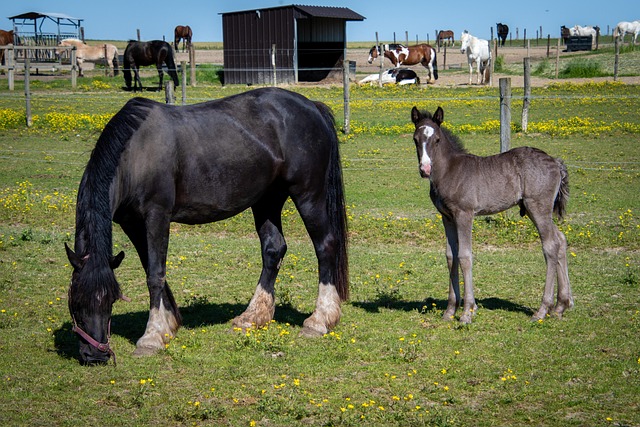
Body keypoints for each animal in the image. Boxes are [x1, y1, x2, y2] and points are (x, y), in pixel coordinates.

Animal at [65, 87, 349, 365]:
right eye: (75, 301)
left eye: (110, 299)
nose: (95, 355)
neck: (135, 155)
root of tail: (311, 106)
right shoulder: (132, 223)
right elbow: (151, 269)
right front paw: (169, 323)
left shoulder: (157, 215)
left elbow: (155, 275)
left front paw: (151, 337)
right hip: (267, 200)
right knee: (273, 250)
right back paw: (253, 316)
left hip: (308, 195)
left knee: (325, 245)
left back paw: (319, 320)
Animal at [410, 106, 572, 324]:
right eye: (415, 139)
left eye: (436, 139)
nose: (425, 169)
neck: (449, 171)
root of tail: (556, 162)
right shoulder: (447, 217)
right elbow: (450, 257)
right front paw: (450, 310)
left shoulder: (464, 214)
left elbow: (465, 256)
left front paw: (467, 312)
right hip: (535, 209)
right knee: (561, 239)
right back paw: (561, 305)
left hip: (538, 207)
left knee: (550, 246)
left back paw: (542, 309)